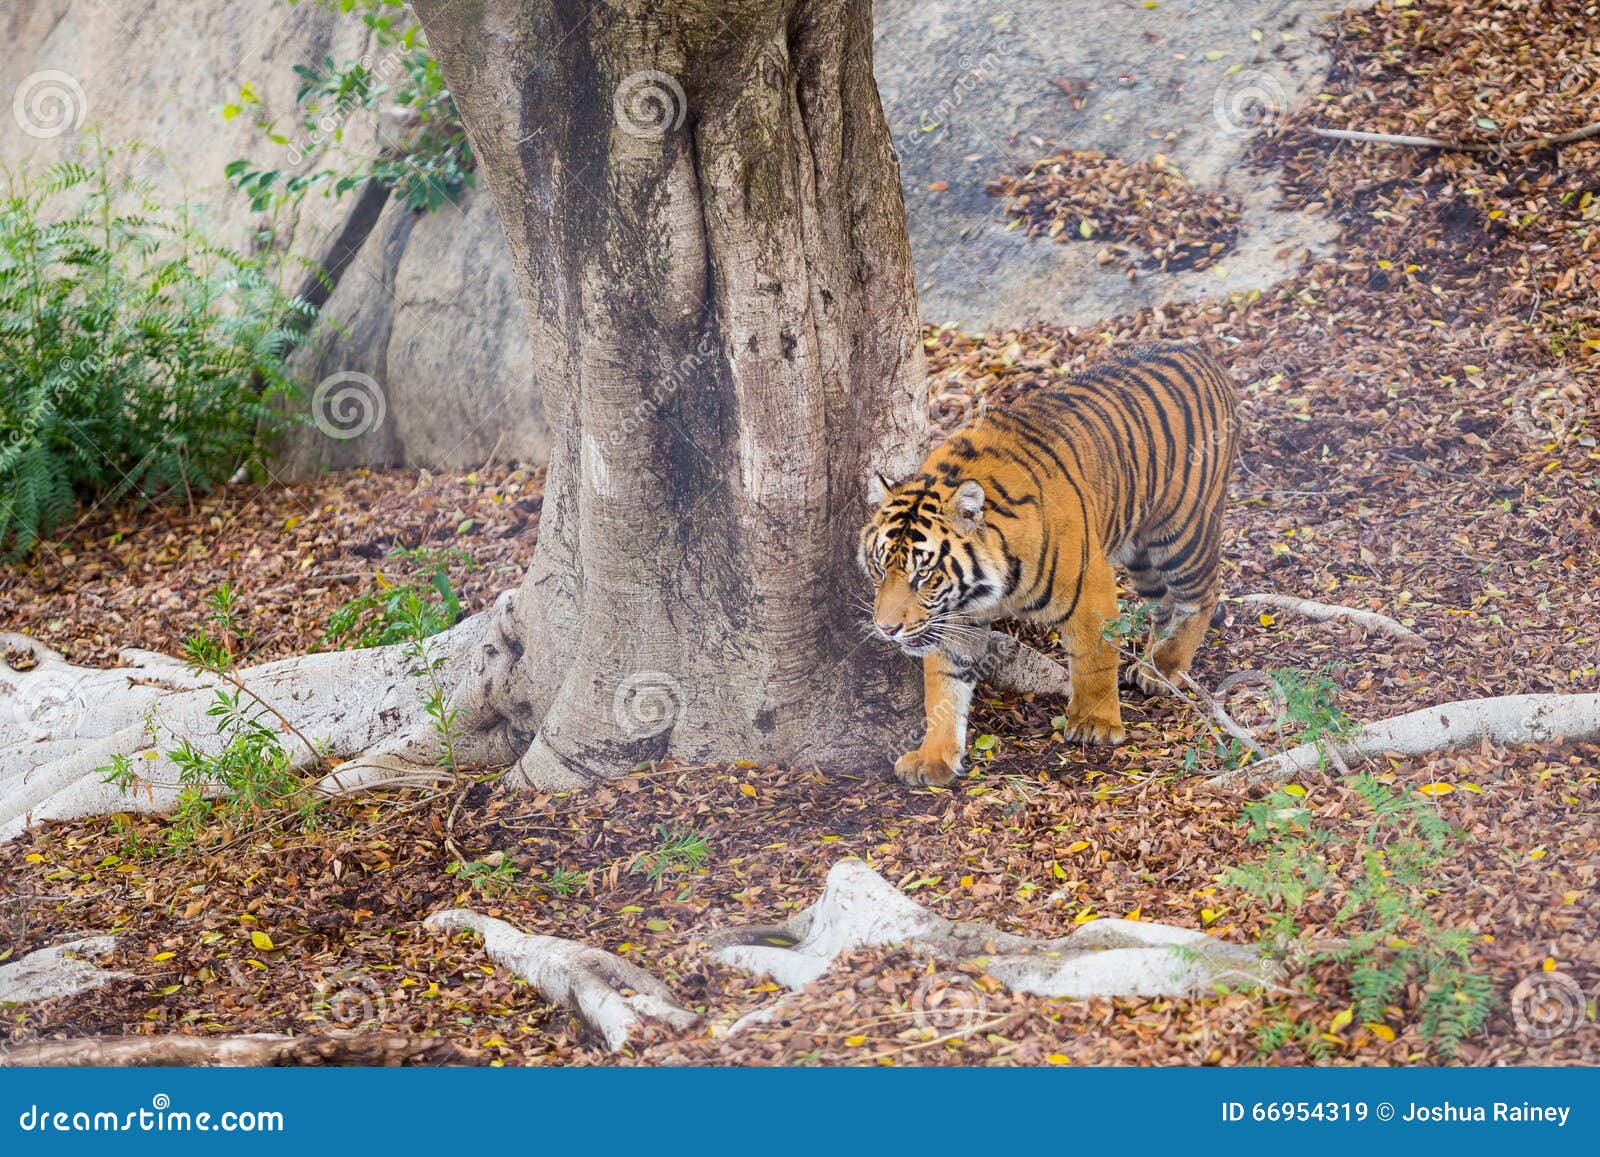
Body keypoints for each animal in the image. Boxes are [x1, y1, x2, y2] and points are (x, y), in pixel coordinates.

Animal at [859, 342, 1237, 787]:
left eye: (924, 573)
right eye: (880, 569)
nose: (886, 629)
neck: (986, 590)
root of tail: (1196, 349)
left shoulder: (1090, 588)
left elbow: (1094, 658)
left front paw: (1095, 723)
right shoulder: (953, 619)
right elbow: (944, 688)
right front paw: (932, 757)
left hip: (1181, 533)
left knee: (1203, 594)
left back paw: (1164, 666)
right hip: (1141, 552)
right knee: (1163, 604)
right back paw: (1150, 660)